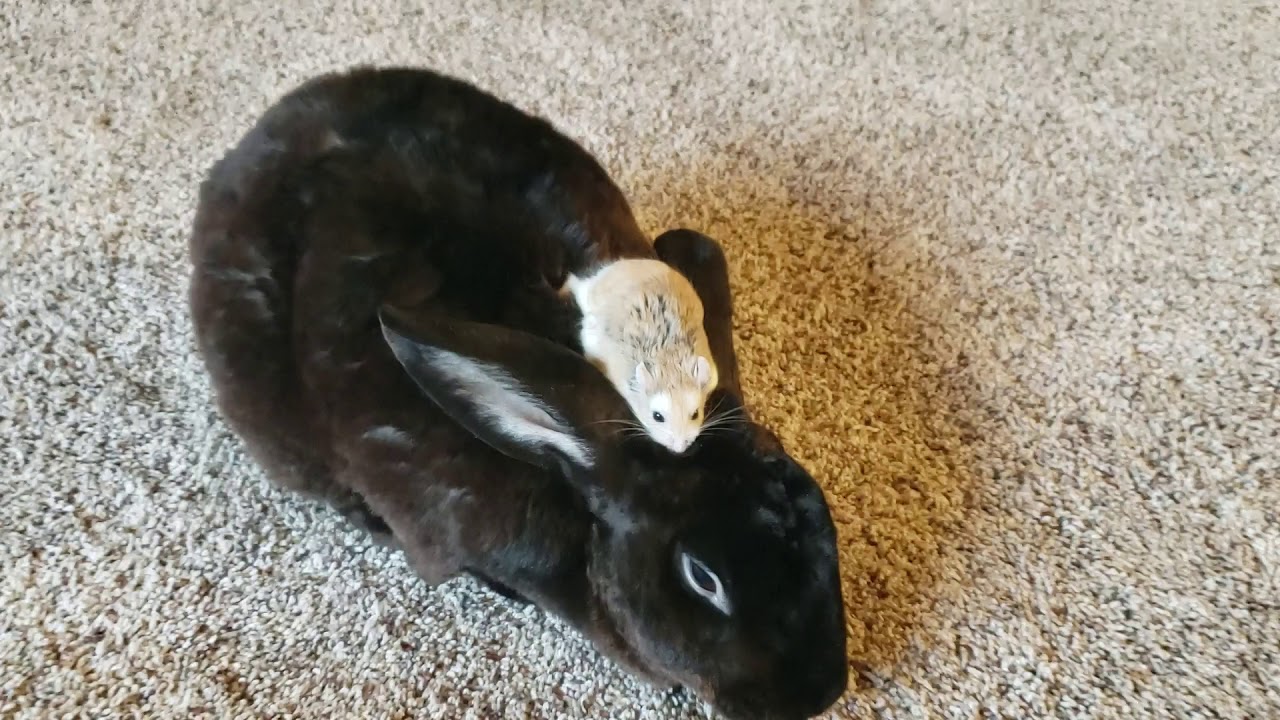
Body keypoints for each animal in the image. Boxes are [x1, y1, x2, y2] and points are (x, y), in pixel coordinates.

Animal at [563, 258, 718, 454]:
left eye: (695, 414)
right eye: (657, 416)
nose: (679, 449)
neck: (668, 361)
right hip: (590, 293)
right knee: (576, 283)